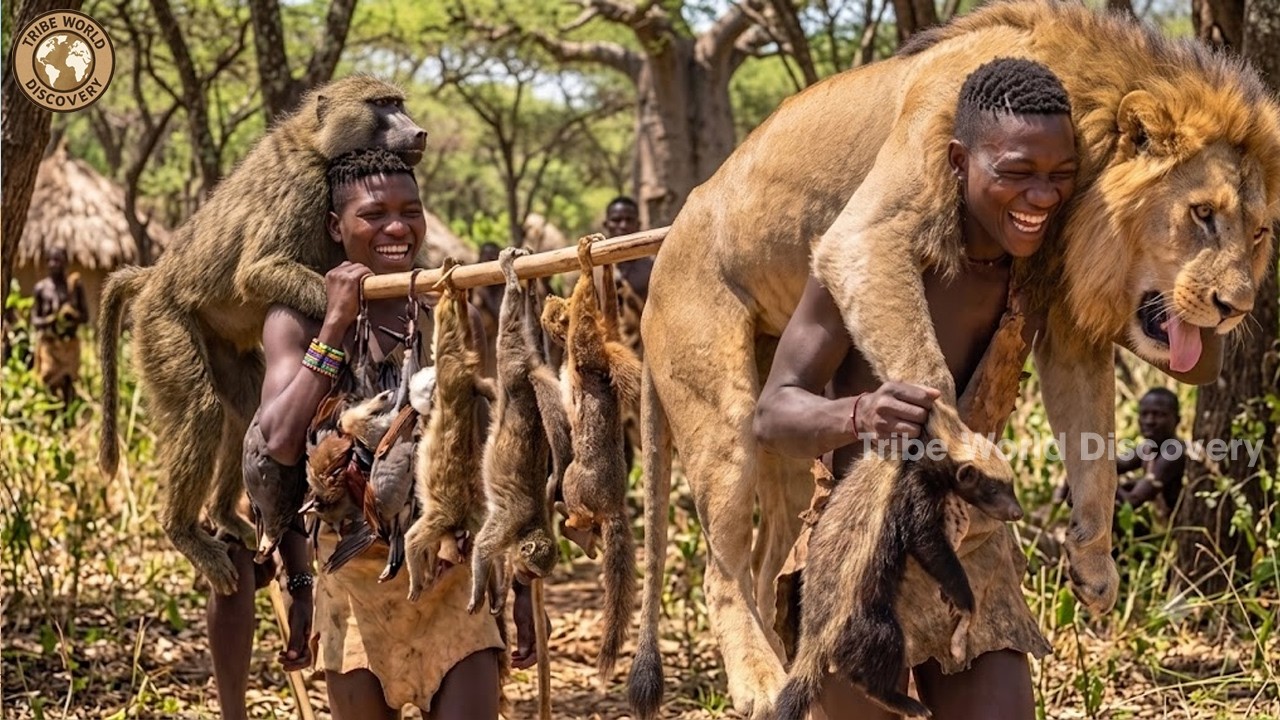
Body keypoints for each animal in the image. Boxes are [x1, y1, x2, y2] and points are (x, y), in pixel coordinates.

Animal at [627, 2, 1280, 717]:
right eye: (1202, 214)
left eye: (1258, 233)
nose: (1236, 307)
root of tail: (666, 242)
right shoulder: (870, 232)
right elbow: (931, 373)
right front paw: (954, 464)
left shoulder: (1067, 319)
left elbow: (1098, 450)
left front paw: (1094, 563)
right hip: (721, 412)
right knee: (722, 567)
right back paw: (759, 679)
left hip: (787, 448)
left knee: (775, 557)